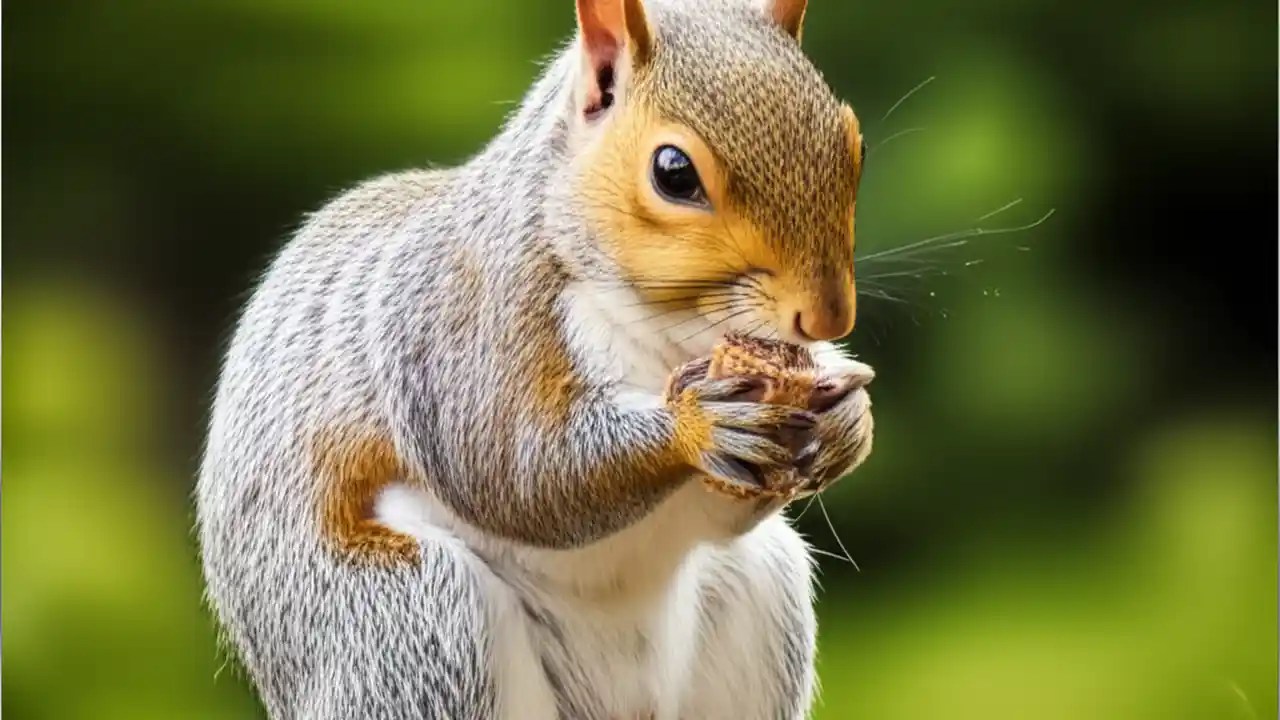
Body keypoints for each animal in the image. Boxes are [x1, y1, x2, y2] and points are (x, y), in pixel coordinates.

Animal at [196, 0, 875, 719]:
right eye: (673, 173)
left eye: (855, 147)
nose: (828, 318)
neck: (668, 330)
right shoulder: (461, 328)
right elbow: (515, 467)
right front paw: (696, 426)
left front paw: (849, 421)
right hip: (413, 623)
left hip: (762, 593)